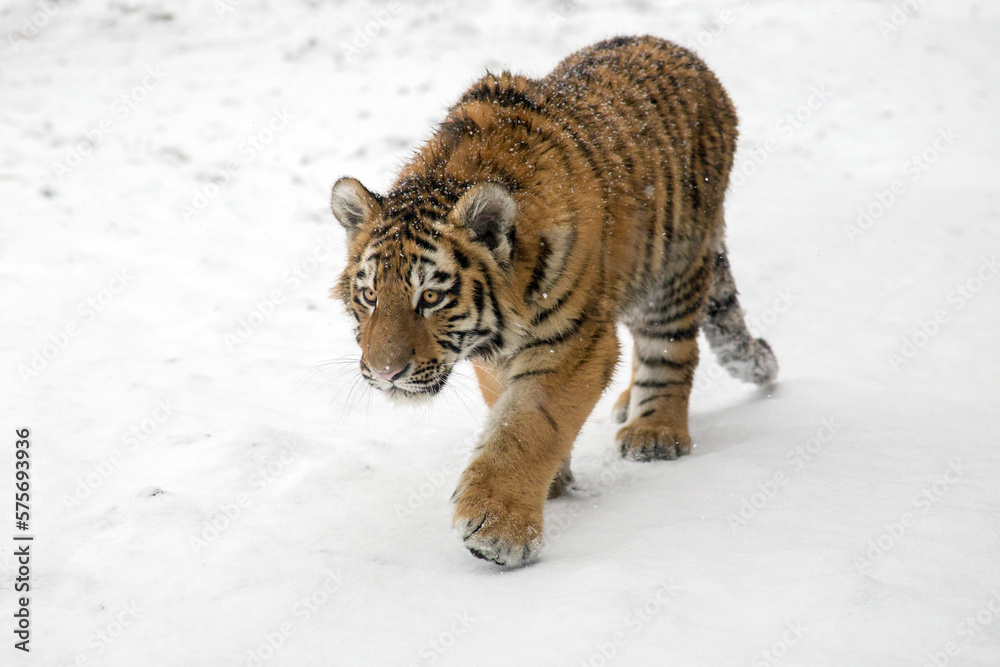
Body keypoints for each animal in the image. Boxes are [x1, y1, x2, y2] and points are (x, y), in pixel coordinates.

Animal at [329, 35, 778, 567]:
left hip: (674, 267)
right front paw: (552, 482)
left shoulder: (575, 339)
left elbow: (526, 424)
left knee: (670, 352)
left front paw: (498, 528)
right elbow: (505, 409)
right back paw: (627, 406)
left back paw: (654, 433)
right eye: (370, 296)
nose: (385, 373)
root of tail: (682, 52)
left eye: (432, 297)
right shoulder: (497, 354)